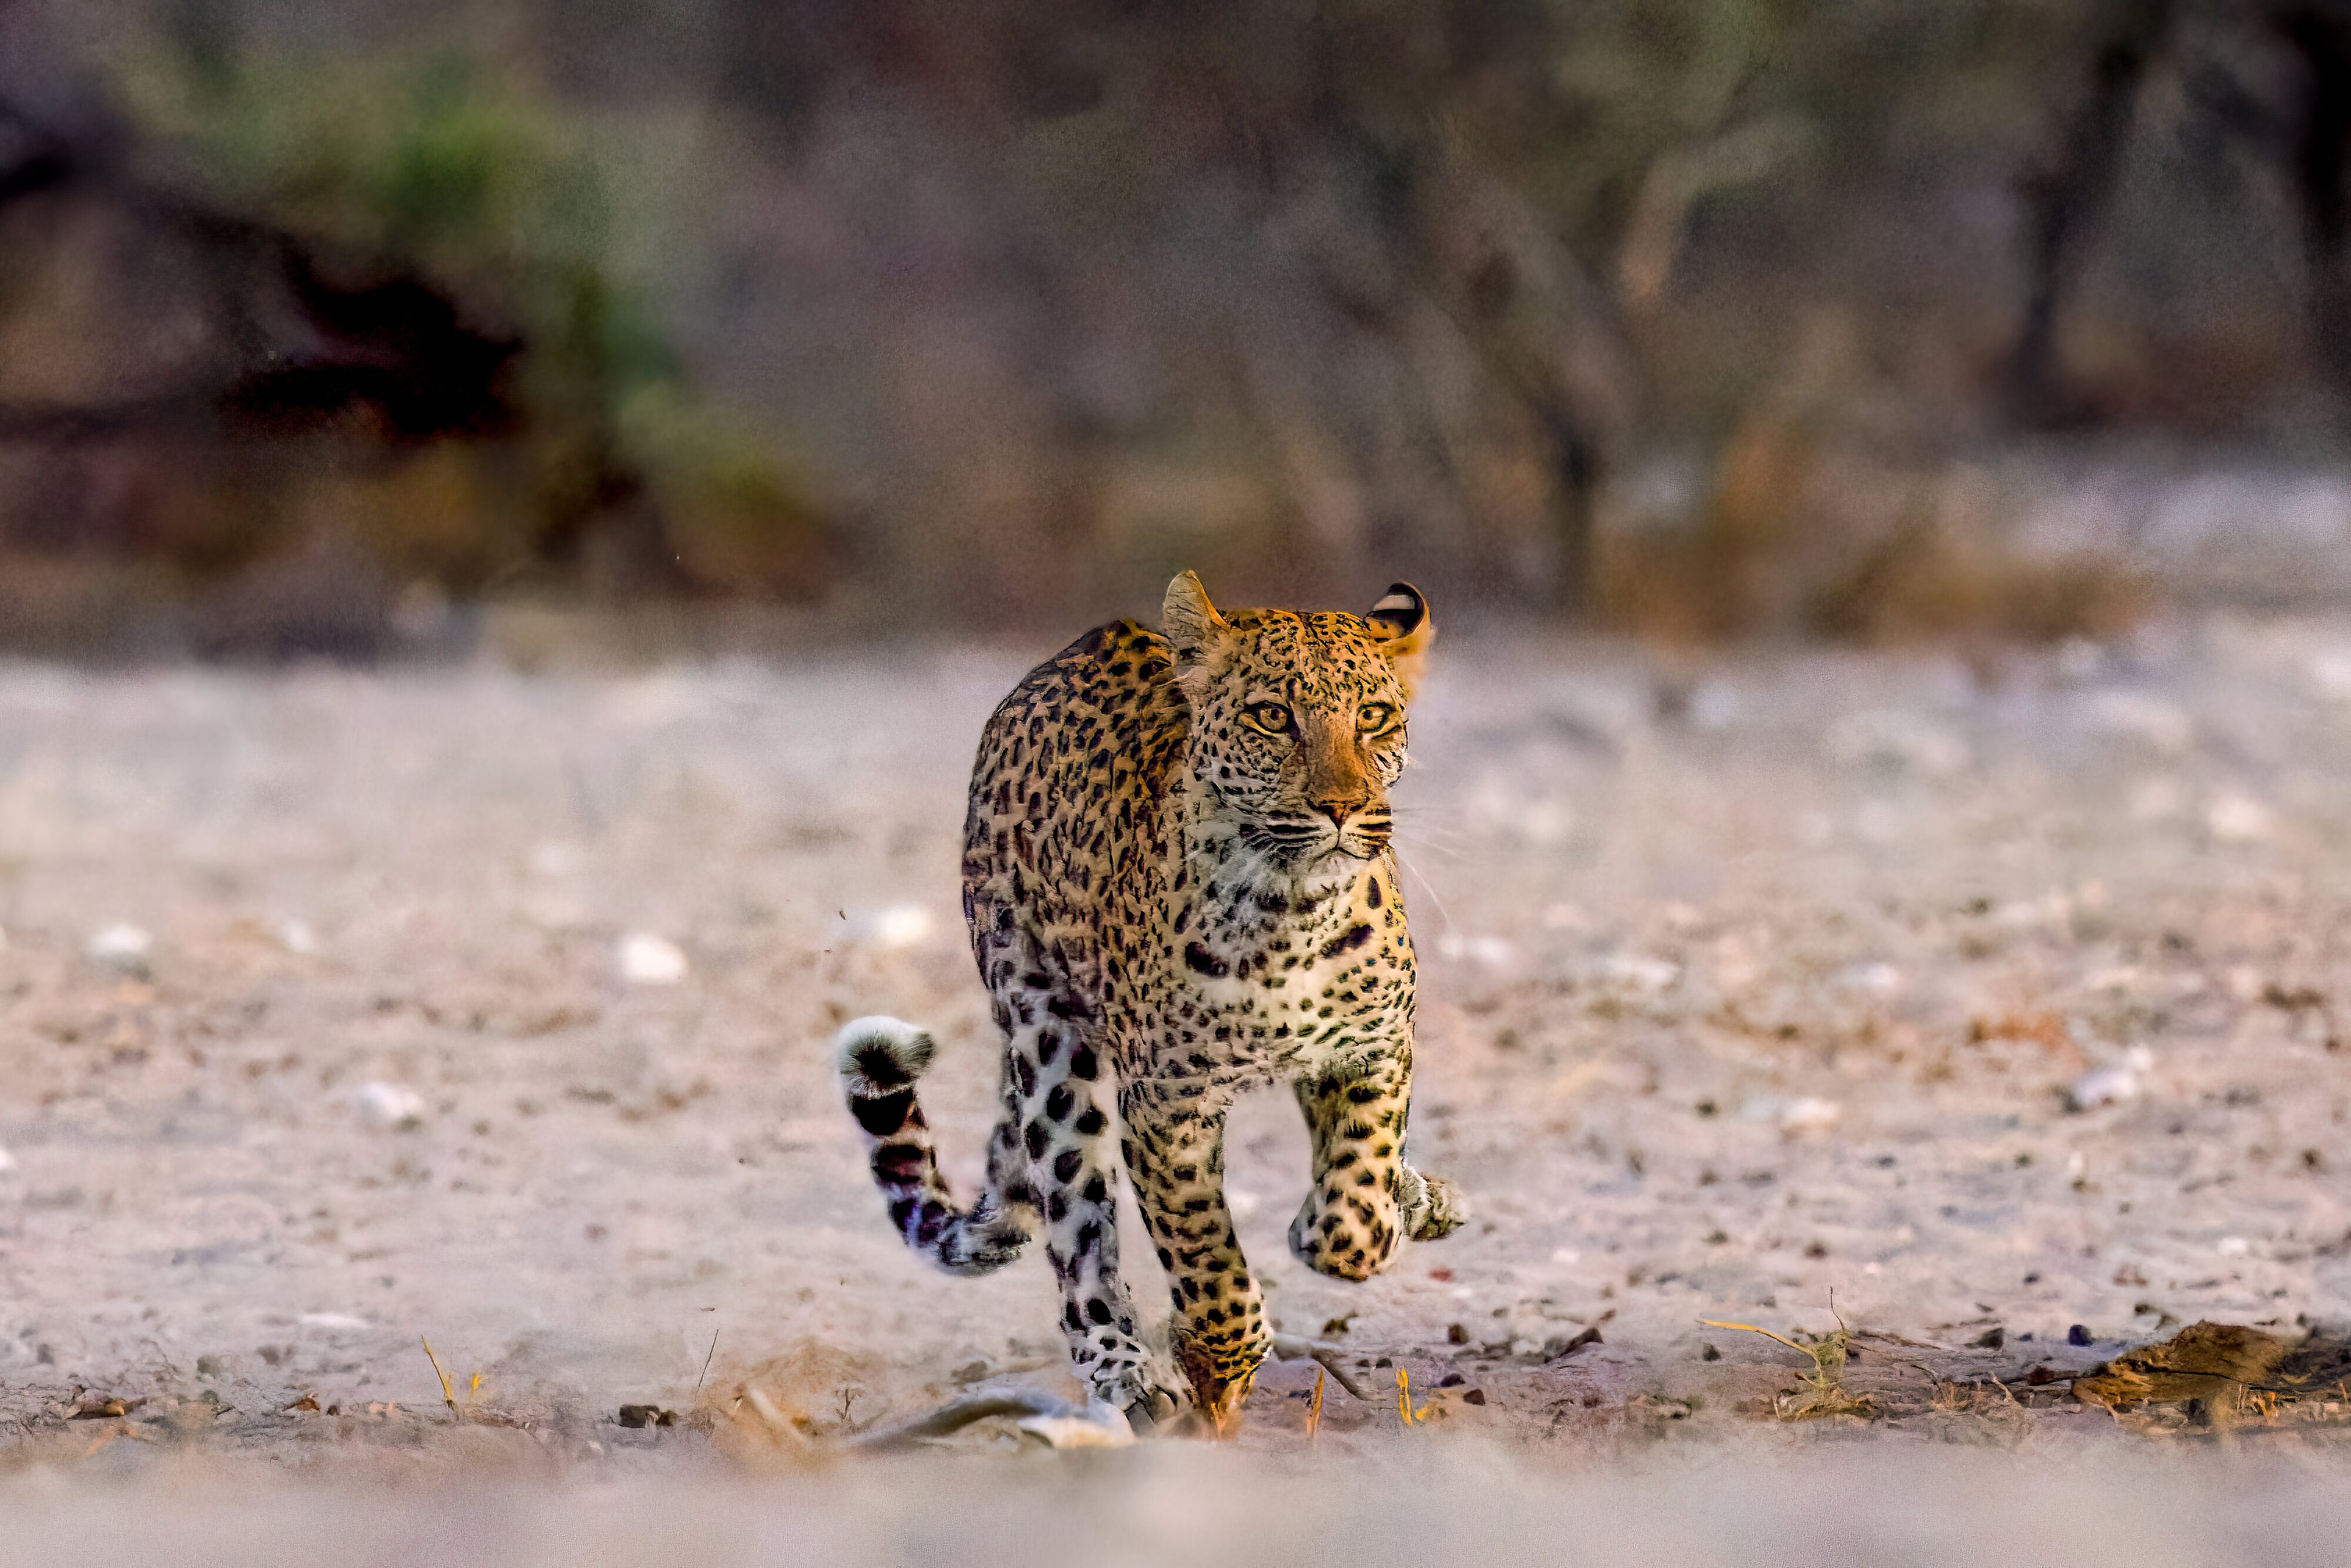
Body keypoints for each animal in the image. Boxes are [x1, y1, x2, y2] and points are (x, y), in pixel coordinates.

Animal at [834, 570, 1465, 1434]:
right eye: (1273, 717)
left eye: (1372, 717)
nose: (1340, 808)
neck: (1294, 911)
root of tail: (1073, 649)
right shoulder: (1167, 1106)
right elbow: (1206, 1257)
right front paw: (1217, 1354)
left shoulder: (1374, 1048)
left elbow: (1356, 1201)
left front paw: (1352, 1217)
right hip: (1042, 1033)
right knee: (1074, 1227)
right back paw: (1120, 1363)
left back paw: (1414, 1195)